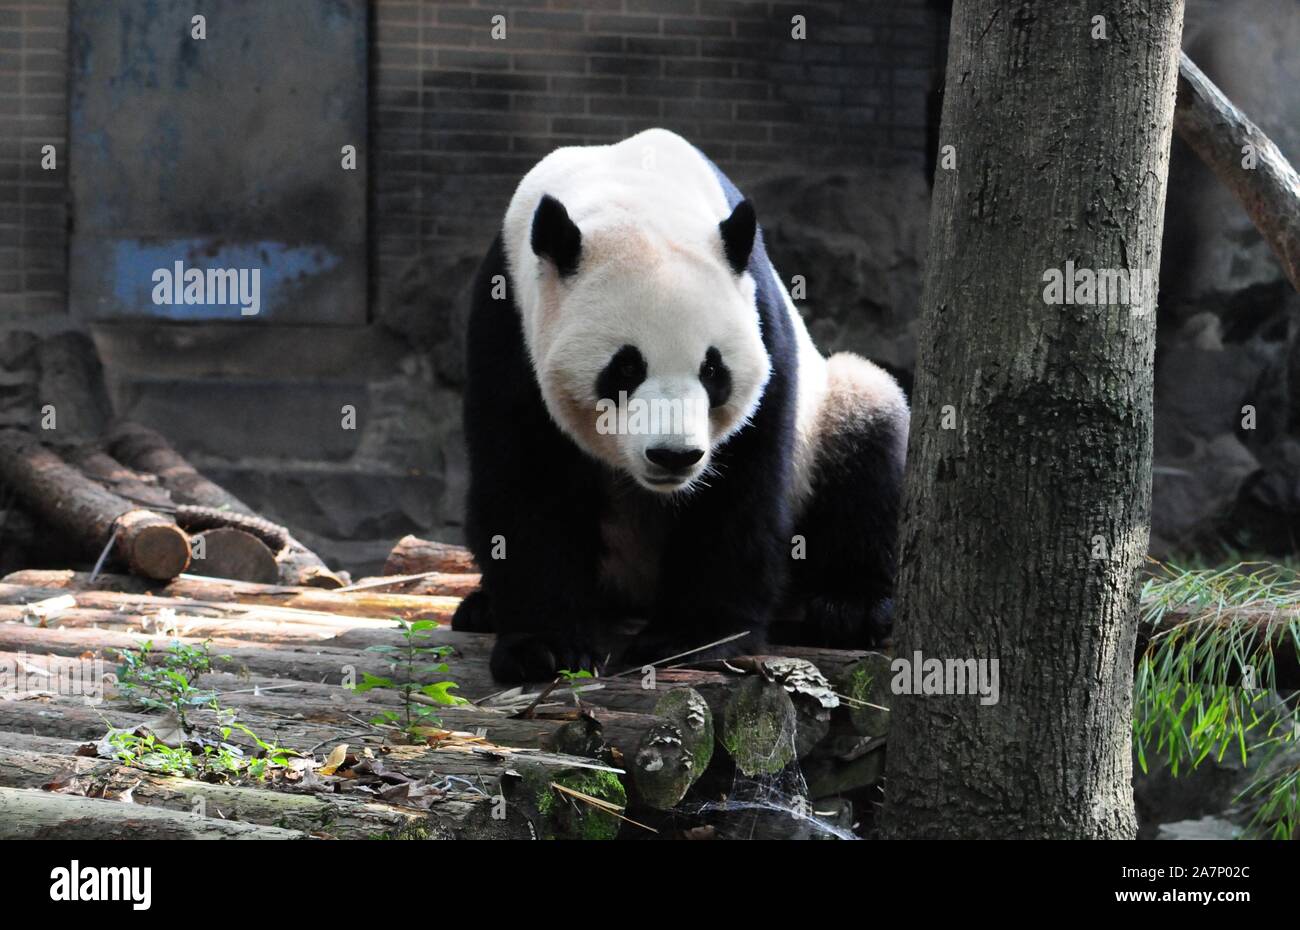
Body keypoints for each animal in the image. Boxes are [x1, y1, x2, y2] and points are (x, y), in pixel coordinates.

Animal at [452, 128, 908, 683]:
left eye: (712, 370)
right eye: (626, 368)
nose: (674, 456)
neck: (636, 190)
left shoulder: (761, 322)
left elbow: (740, 489)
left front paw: (691, 638)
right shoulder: (510, 320)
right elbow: (526, 480)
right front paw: (545, 649)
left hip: (828, 418)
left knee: (868, 443)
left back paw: (849, 608)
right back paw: (481, 608)